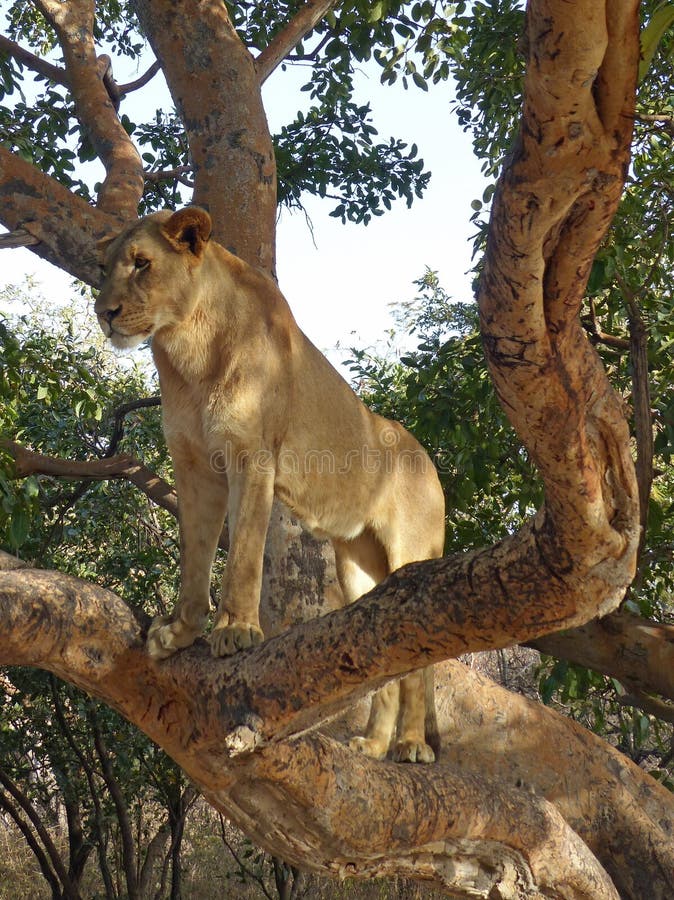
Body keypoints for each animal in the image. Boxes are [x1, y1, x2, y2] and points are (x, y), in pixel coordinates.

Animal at [94, 206, 446, 763]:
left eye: (142, 263)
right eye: (102, 267)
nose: (103, 312)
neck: (186, 349)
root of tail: (428, 462)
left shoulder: (251, 457)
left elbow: (242, 553)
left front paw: (236, 630)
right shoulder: (193, 466)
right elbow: (195, 553)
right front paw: (180, 631)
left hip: (411, 555)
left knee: (419, 661)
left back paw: (410, 744)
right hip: (358, 569)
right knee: (386, 655)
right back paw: (372, 743)